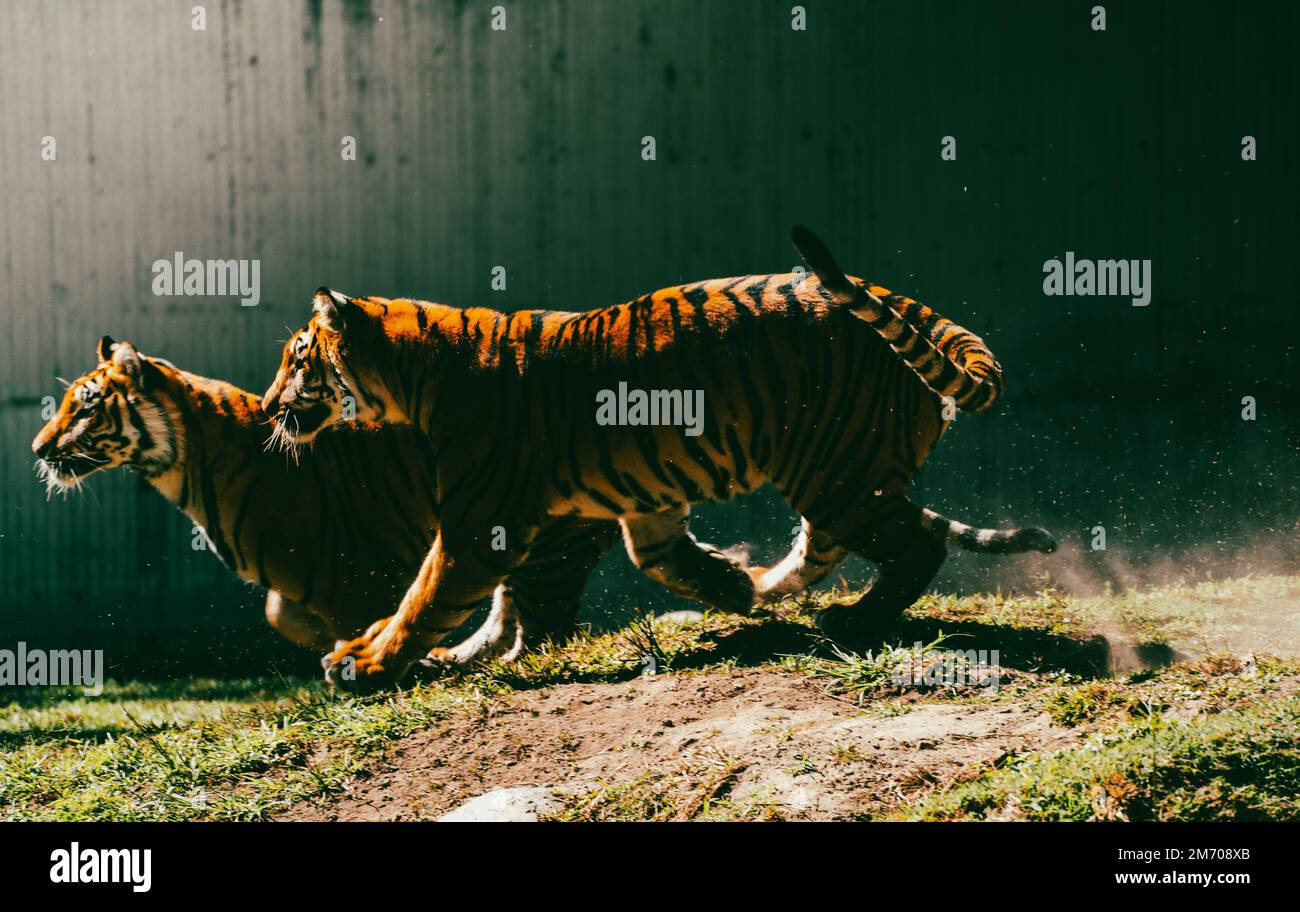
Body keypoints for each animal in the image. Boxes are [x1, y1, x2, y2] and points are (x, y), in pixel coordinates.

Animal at [29, 337, 620, 668]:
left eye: (85, 408)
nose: (37, 448)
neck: (184, 468)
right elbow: (283, 613)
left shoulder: (356, 574)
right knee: (510, 618)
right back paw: (449, 660)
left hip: (545, 543)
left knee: (543, 629)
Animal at [261, 226, 1056, 691]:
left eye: (298, 360)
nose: (268, 408)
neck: (413, 377)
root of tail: (914, 306)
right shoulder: (614, 506)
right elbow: (595, 576)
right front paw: (724, 582)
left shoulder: (478, 526)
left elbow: (427, 598)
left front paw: (368, 662)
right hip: (838, 472)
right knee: (833, 546)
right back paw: (761, 589)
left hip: (837, 474)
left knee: (916, 545)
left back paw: (852, 621)